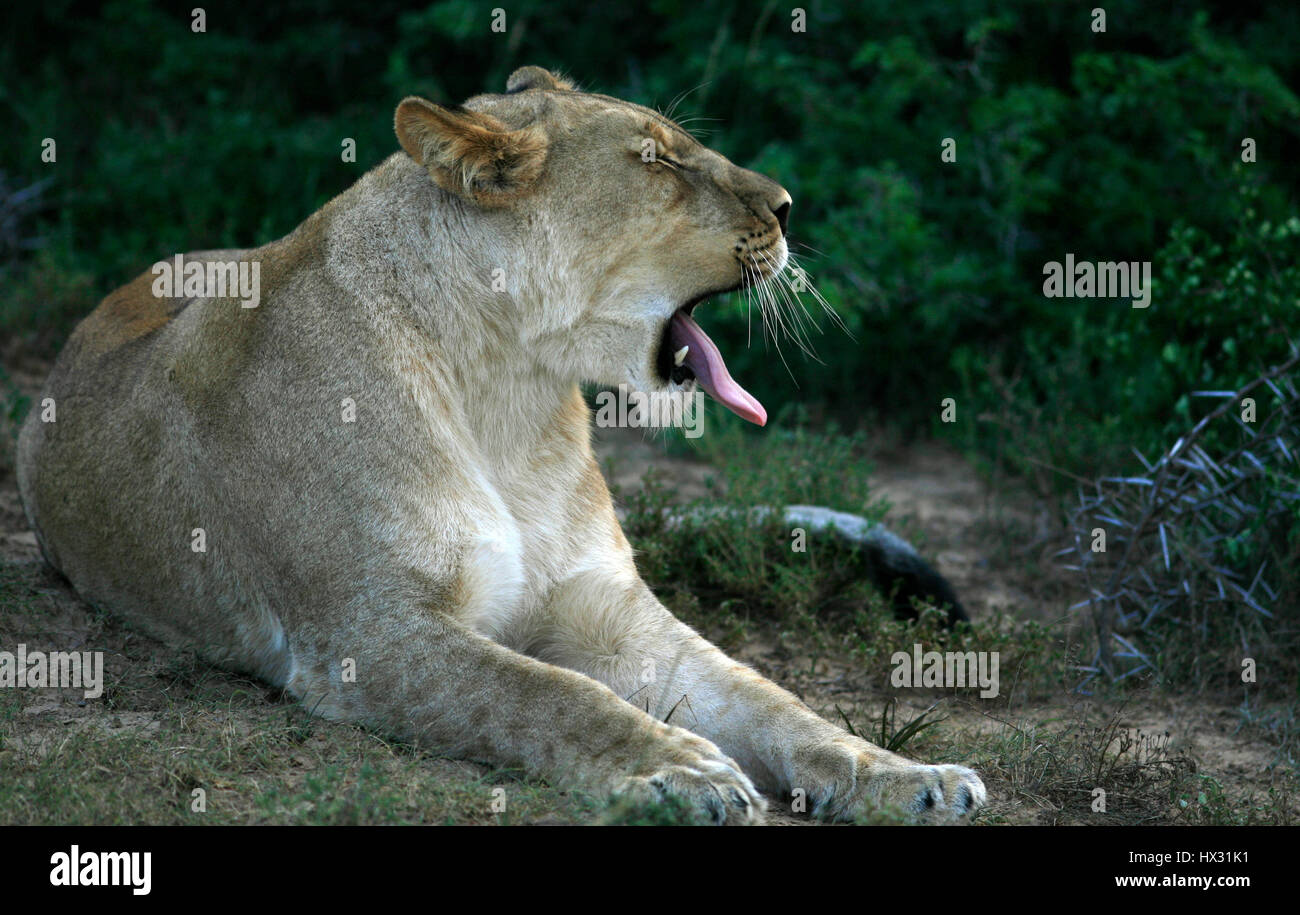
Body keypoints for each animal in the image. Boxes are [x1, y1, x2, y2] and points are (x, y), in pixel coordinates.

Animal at [16, 66, 985, 824]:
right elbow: (549, 693)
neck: (508, 391)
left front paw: (908, 775)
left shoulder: (614, 614)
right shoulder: (371, 632)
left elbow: (773, 700)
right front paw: (682, 769)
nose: (788, 207)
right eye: (656, 160)